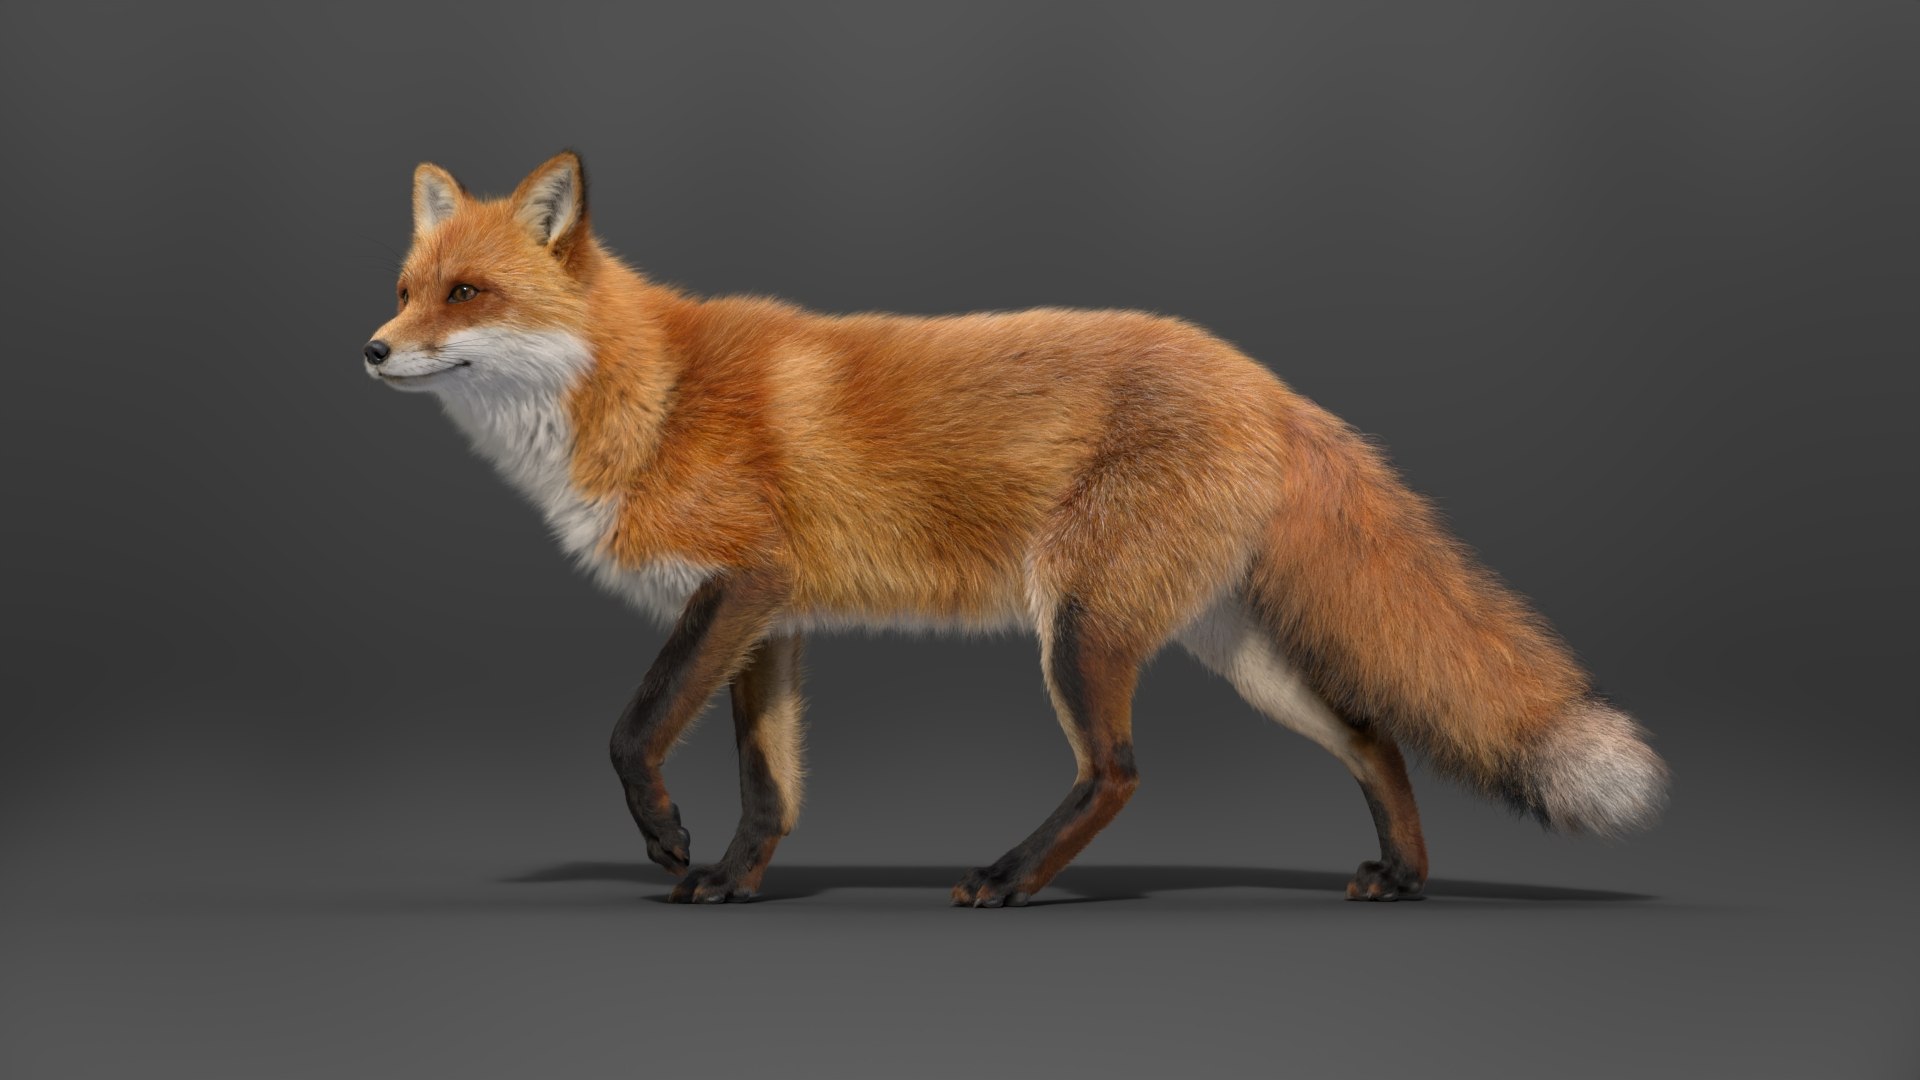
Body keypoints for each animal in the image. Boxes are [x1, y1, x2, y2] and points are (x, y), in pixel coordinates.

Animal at [363, 151, 1668, 906]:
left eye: (467, 295)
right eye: (406, 287)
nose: (370, 350)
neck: (650, 393)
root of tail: (1268, 384)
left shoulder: (735, 589)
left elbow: (632, 731)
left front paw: (671, 845)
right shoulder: (771, 616)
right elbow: (770, 784)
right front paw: (734, 880)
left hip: (1077, 625)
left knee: (1120, 771)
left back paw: (1009, 875)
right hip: (1233, 652)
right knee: (1372, 733)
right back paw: (1403, 874)